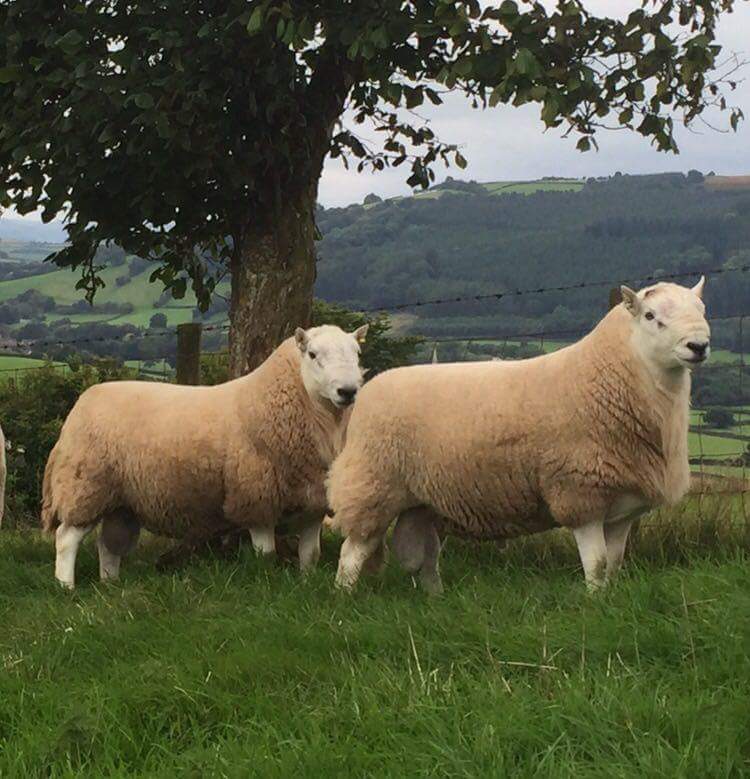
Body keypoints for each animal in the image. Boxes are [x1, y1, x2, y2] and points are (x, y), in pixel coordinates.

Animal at [42, 324, 368, 588]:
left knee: (108, 544)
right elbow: (265, 554)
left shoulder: (313, 501)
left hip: (121, 501)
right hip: (85, 485)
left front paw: (306, 582)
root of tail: (82, 403)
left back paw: (110, 584)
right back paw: (65, 587)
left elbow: (311, 554)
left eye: (358, 353)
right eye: (312, 354)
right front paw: (265, 580)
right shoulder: (256, 497)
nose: (348, 391)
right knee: (66, 538)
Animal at [328, 279, 710, 592]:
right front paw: (593, 605)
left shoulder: (622, 507)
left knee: (425, 555)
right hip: (373, 484)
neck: (607, 376)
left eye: (702, 309)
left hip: (422, 500)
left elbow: (613, 566)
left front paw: (608, 602)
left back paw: (434, 596)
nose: (699, 345)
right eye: (650, 316)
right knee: (352, 551)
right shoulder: (578, 491)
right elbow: (598, 565)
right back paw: (344, 597)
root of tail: (368, 389)